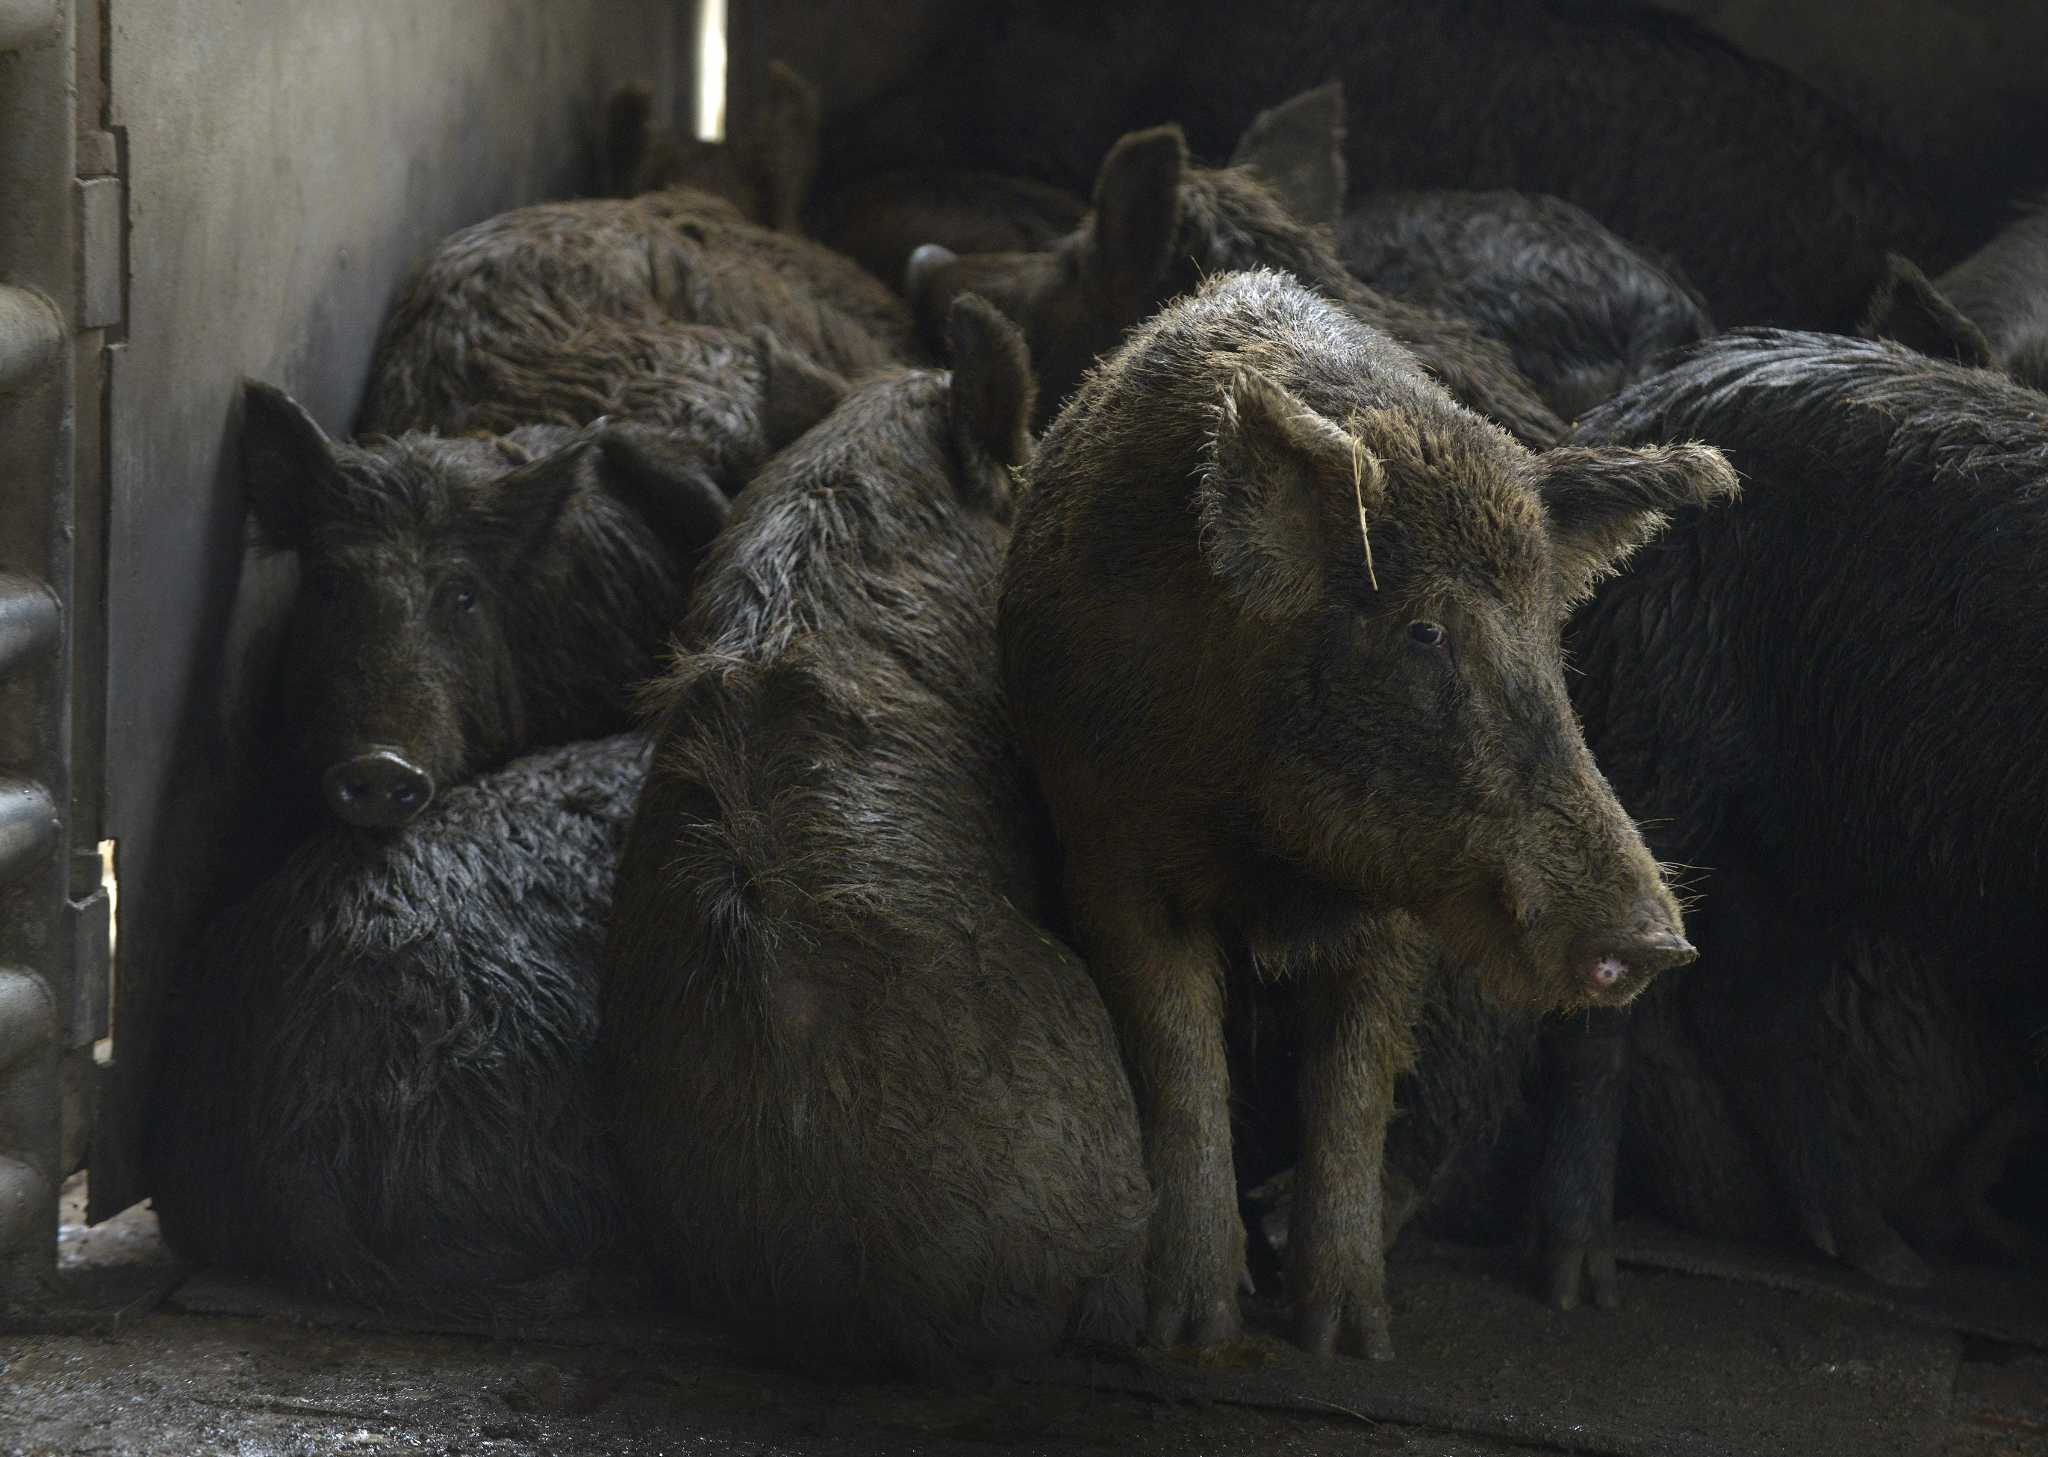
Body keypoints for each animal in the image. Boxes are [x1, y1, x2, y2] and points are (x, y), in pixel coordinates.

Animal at [999, 267, 1734, 1358]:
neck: (1269, 851)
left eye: (1547, 642)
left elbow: (1353, 1085)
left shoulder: (1404, 903)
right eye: (1423, 631)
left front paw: (1350, 1341)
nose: (1660, 942)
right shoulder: (1110, 845)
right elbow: (1178, 1063)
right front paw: (1195, 1338)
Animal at [1537, 328, 2048, 1299]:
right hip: (1661, 734)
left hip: (1815, 839)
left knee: (1749, 1004)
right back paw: (1583, 1280)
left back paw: (1890, 1261)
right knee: (1615, 989)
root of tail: (1618, 416)